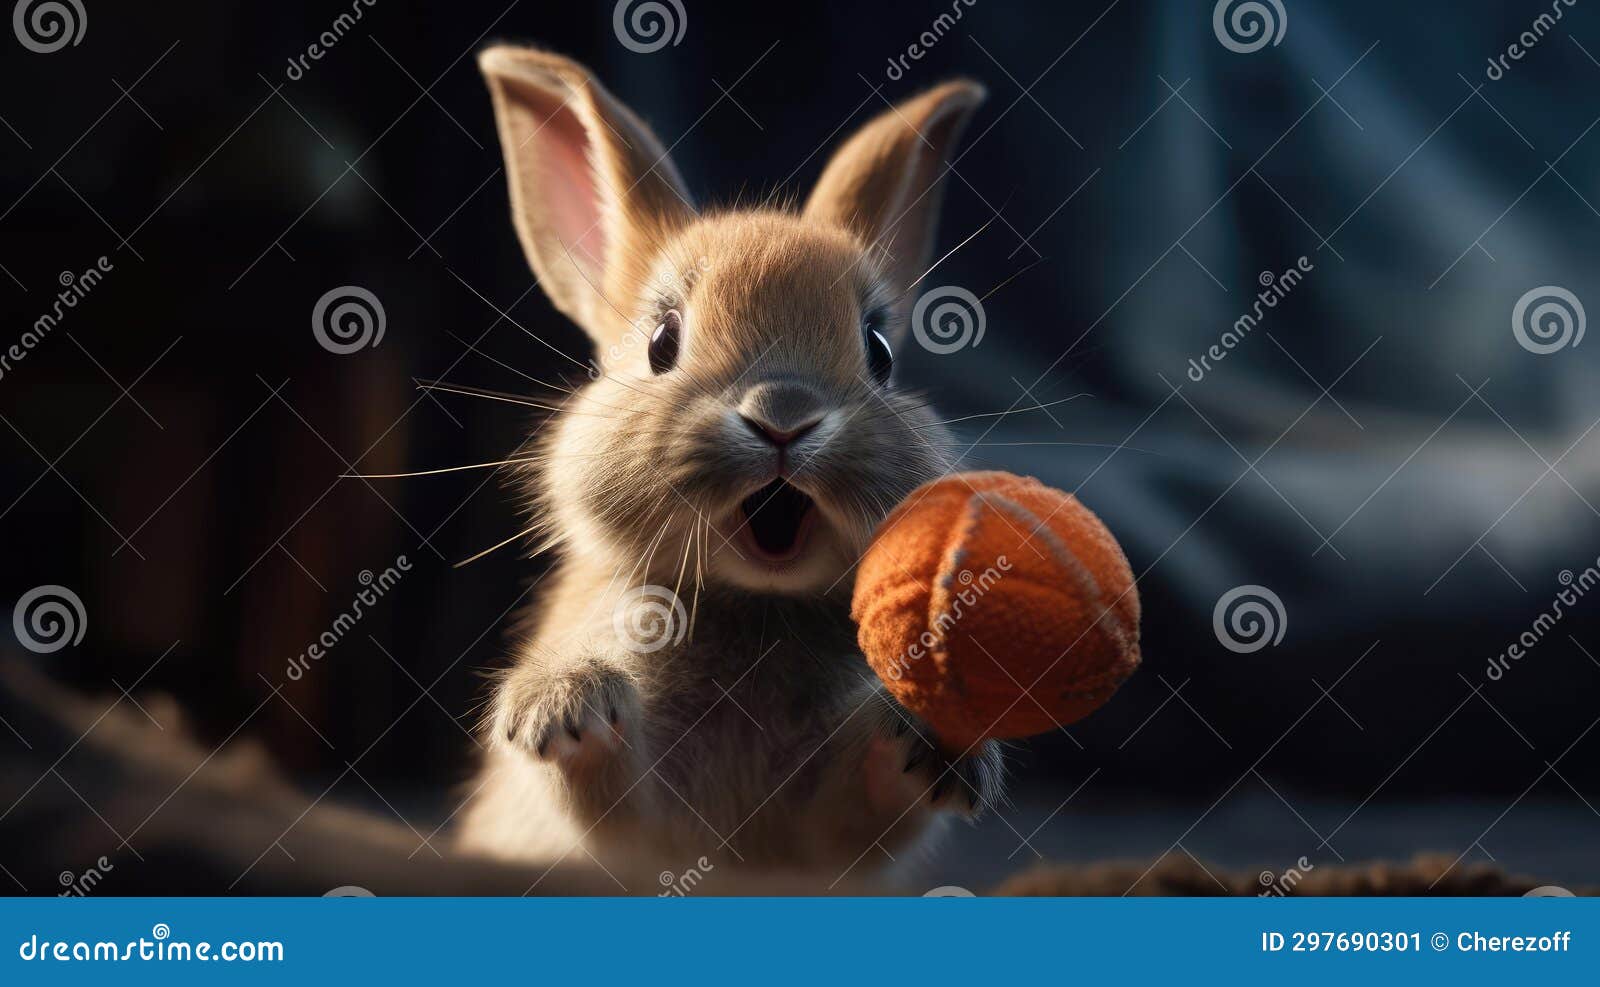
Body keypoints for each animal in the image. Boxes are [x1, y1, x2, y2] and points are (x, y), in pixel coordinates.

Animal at [455, 45, 1004, 883]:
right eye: (662, 343)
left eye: (879, 351)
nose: (783, 415)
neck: (756, 603)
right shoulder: (632, 830)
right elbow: (606, 798)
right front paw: (564, 705)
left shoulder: (831, 840)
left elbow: (868, 802)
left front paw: (933, 741)